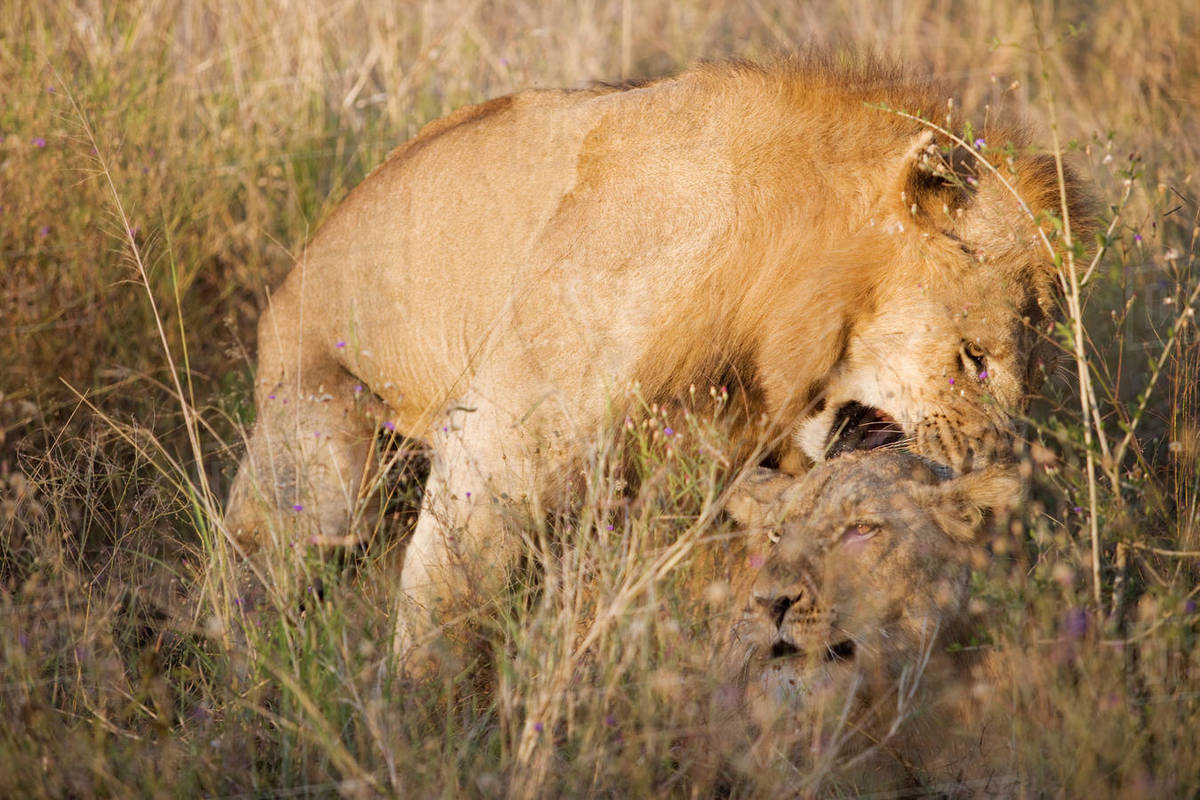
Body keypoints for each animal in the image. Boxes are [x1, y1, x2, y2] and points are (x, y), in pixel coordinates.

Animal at [223, 55, 1090, 658]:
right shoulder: (502, 438)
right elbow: (448, 604)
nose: (998, 466)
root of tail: (284, 287)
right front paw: (425, 728)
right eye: (975, 360)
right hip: (323, 461)